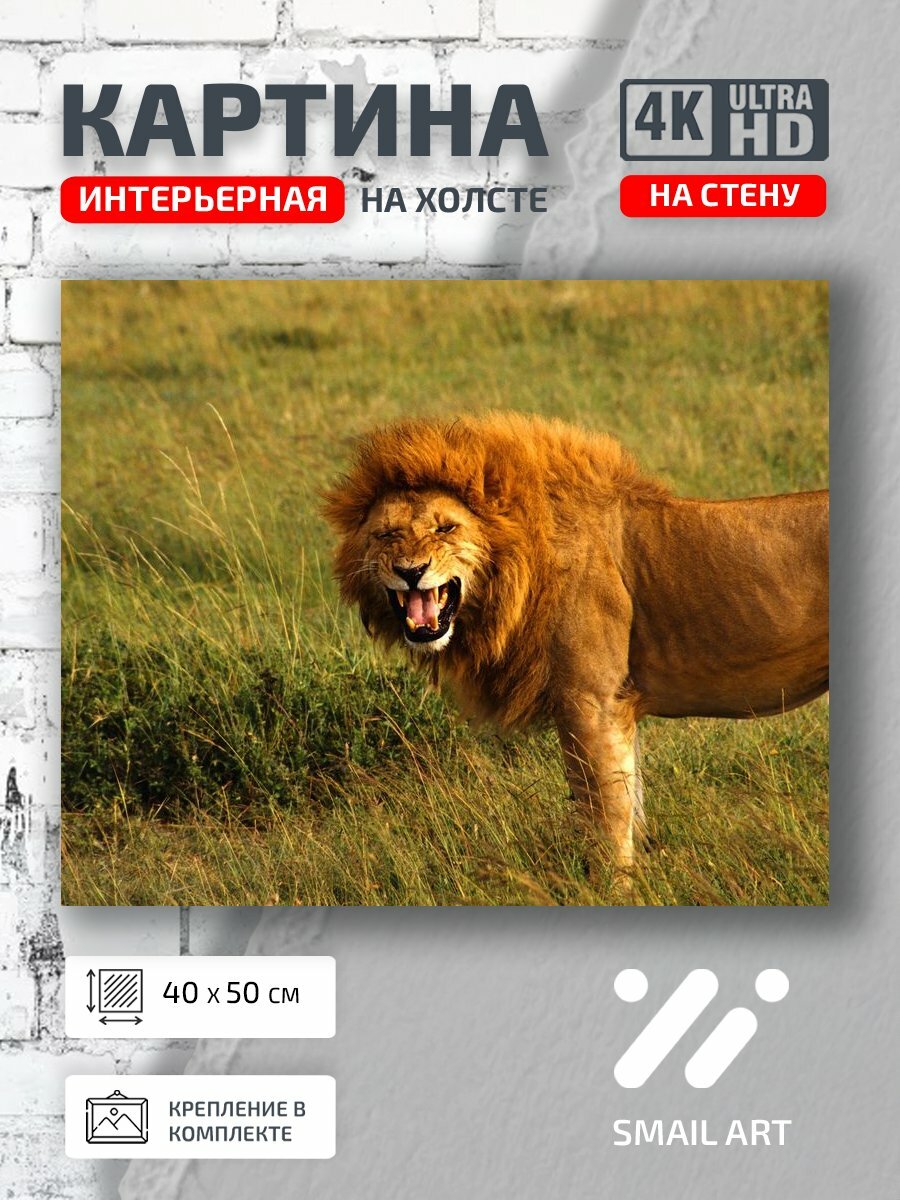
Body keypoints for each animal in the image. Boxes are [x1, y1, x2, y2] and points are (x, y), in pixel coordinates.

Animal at [323, 413, 829, 873]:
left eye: (446, 528)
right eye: (387, 534)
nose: (410, 571)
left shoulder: (592, 702)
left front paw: (612, 890)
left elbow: (605, 819)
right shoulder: (613, 708)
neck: (519, 566)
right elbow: (628, 806)